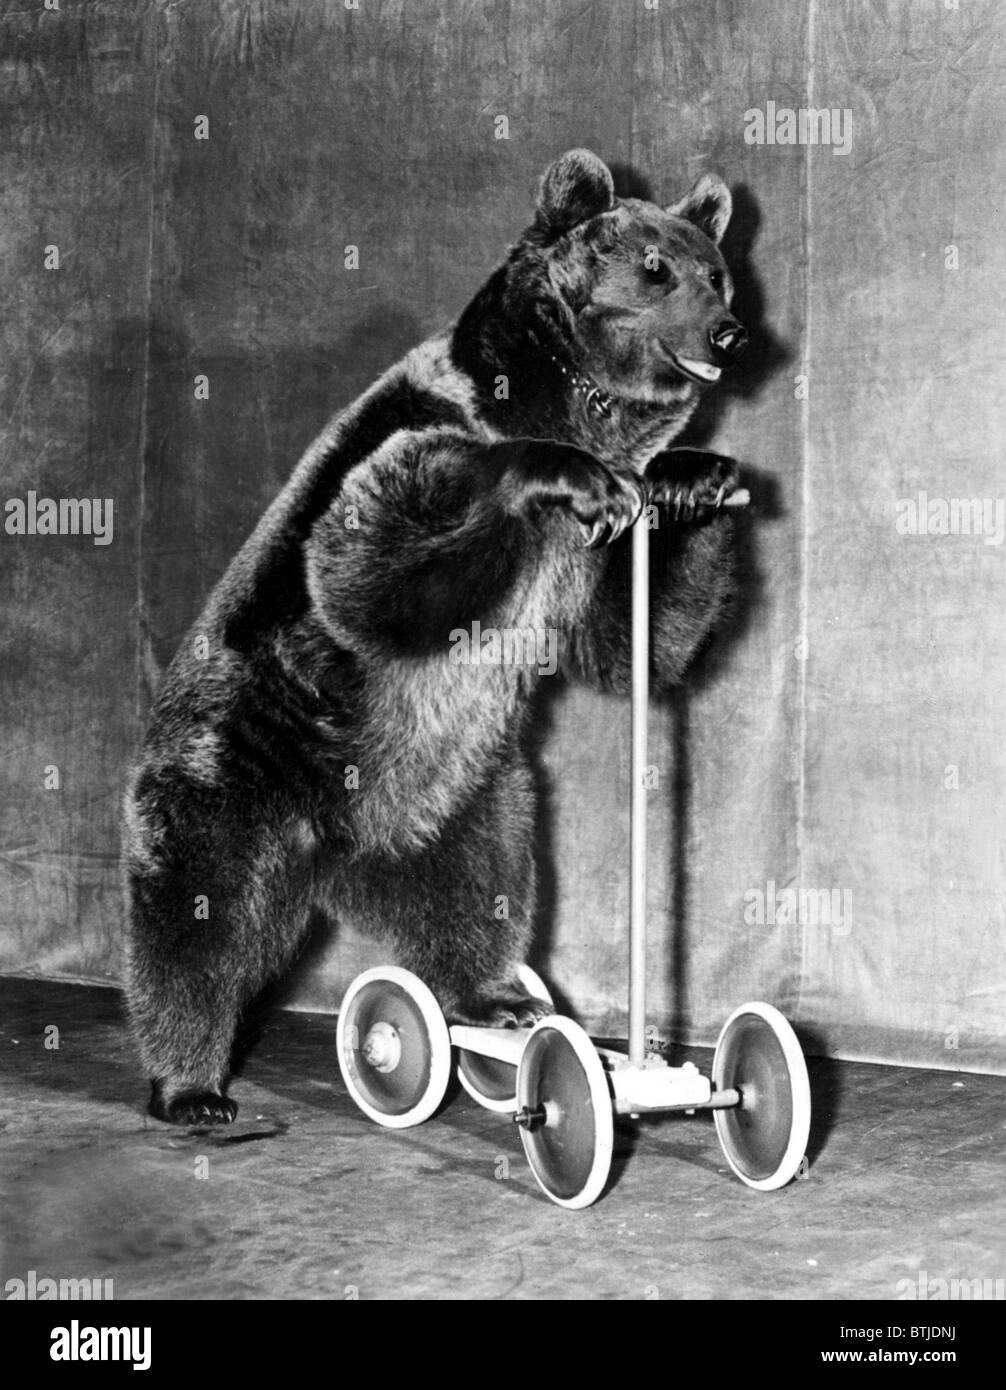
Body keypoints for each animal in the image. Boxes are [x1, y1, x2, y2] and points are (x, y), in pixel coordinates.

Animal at [123, 148, 748, 1125]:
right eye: (655, 268)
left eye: (715, 271)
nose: (728, 332)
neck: (572, 402)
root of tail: (334, 848)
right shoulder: (435, 434)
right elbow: (372, 555)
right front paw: (560, 473)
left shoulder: (584, 568)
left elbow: (633, 641)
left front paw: (701, 475)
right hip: (230, 761)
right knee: (198, 913)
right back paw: (192, 1085)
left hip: (461, 794)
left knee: (479, 891)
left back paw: (496, 999)